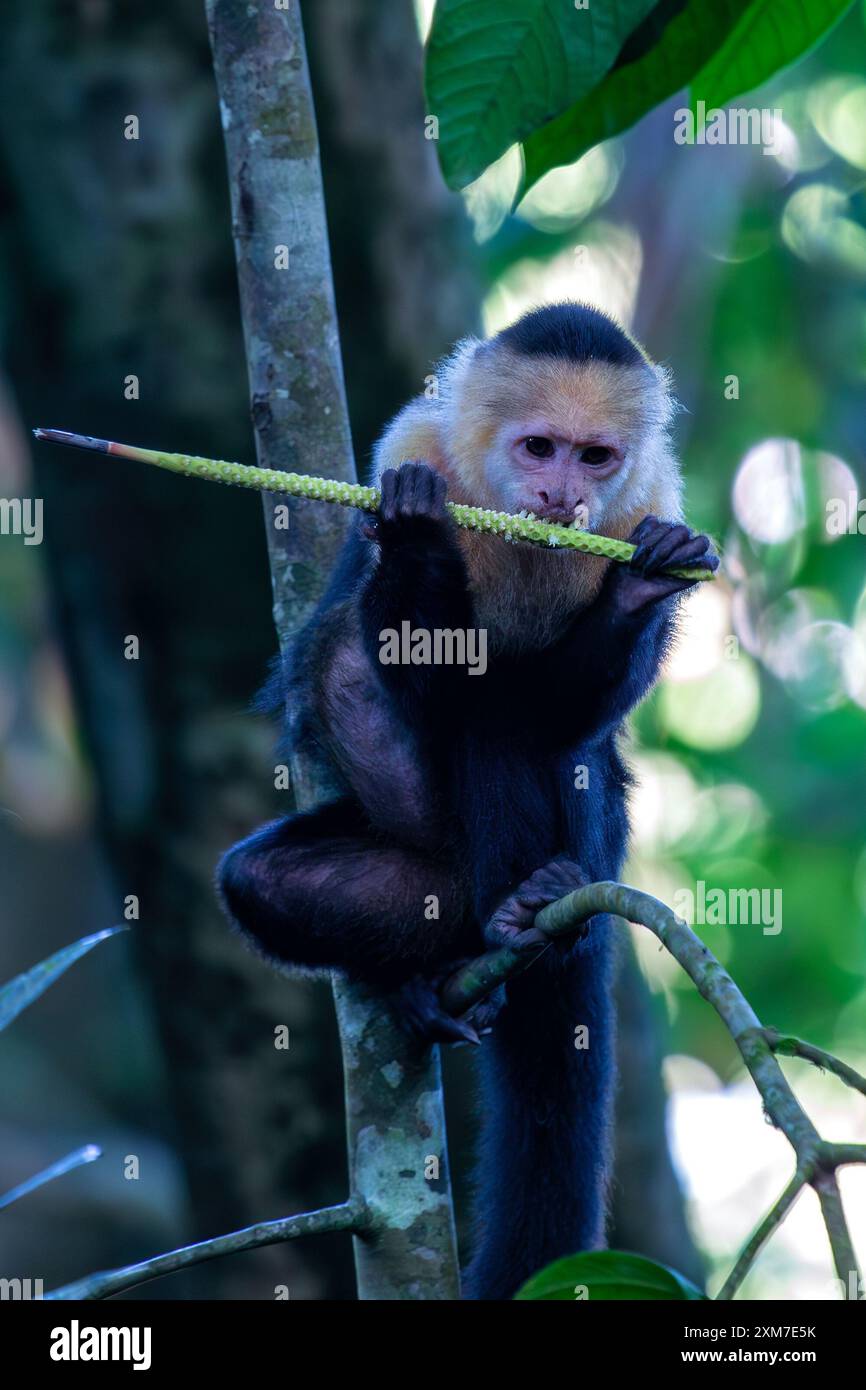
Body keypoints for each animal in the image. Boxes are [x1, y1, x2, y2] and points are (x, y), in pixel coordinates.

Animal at [217, 301, 718, 1301]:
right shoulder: (409, 447)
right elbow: (429, 676)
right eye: (540, 448)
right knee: (265, 871)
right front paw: (416, 536)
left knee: (532, 744)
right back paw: (430, 972)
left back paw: (539, 906)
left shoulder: (647, 501)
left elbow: (550, 714)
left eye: (594, 458)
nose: (561, 497)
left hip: (576, 860)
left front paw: (638, 587)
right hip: (422, 887)